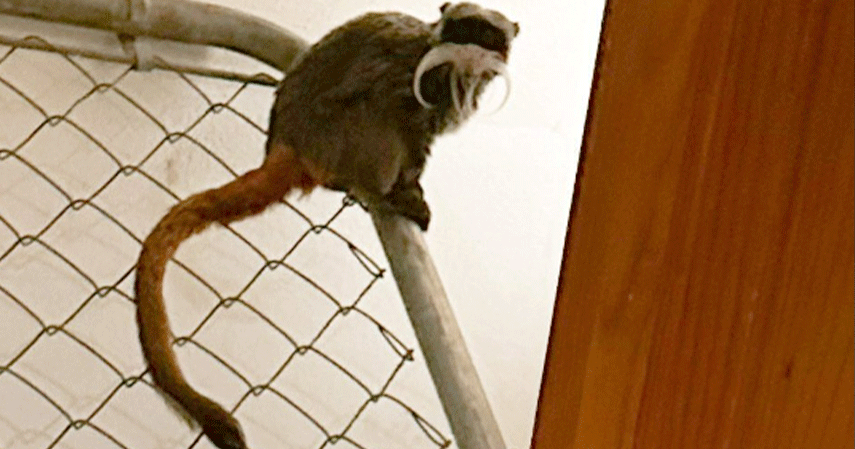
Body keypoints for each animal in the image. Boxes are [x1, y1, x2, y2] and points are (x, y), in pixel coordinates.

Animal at [134, 3, 518, 449]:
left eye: (486, 35)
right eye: (463, 27)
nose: (467, 48)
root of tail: (288, 143)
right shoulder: (412, 71)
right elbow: (391, 104)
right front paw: (405, 189)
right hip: (337, 137)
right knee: (380, 111)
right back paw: (383, 192)